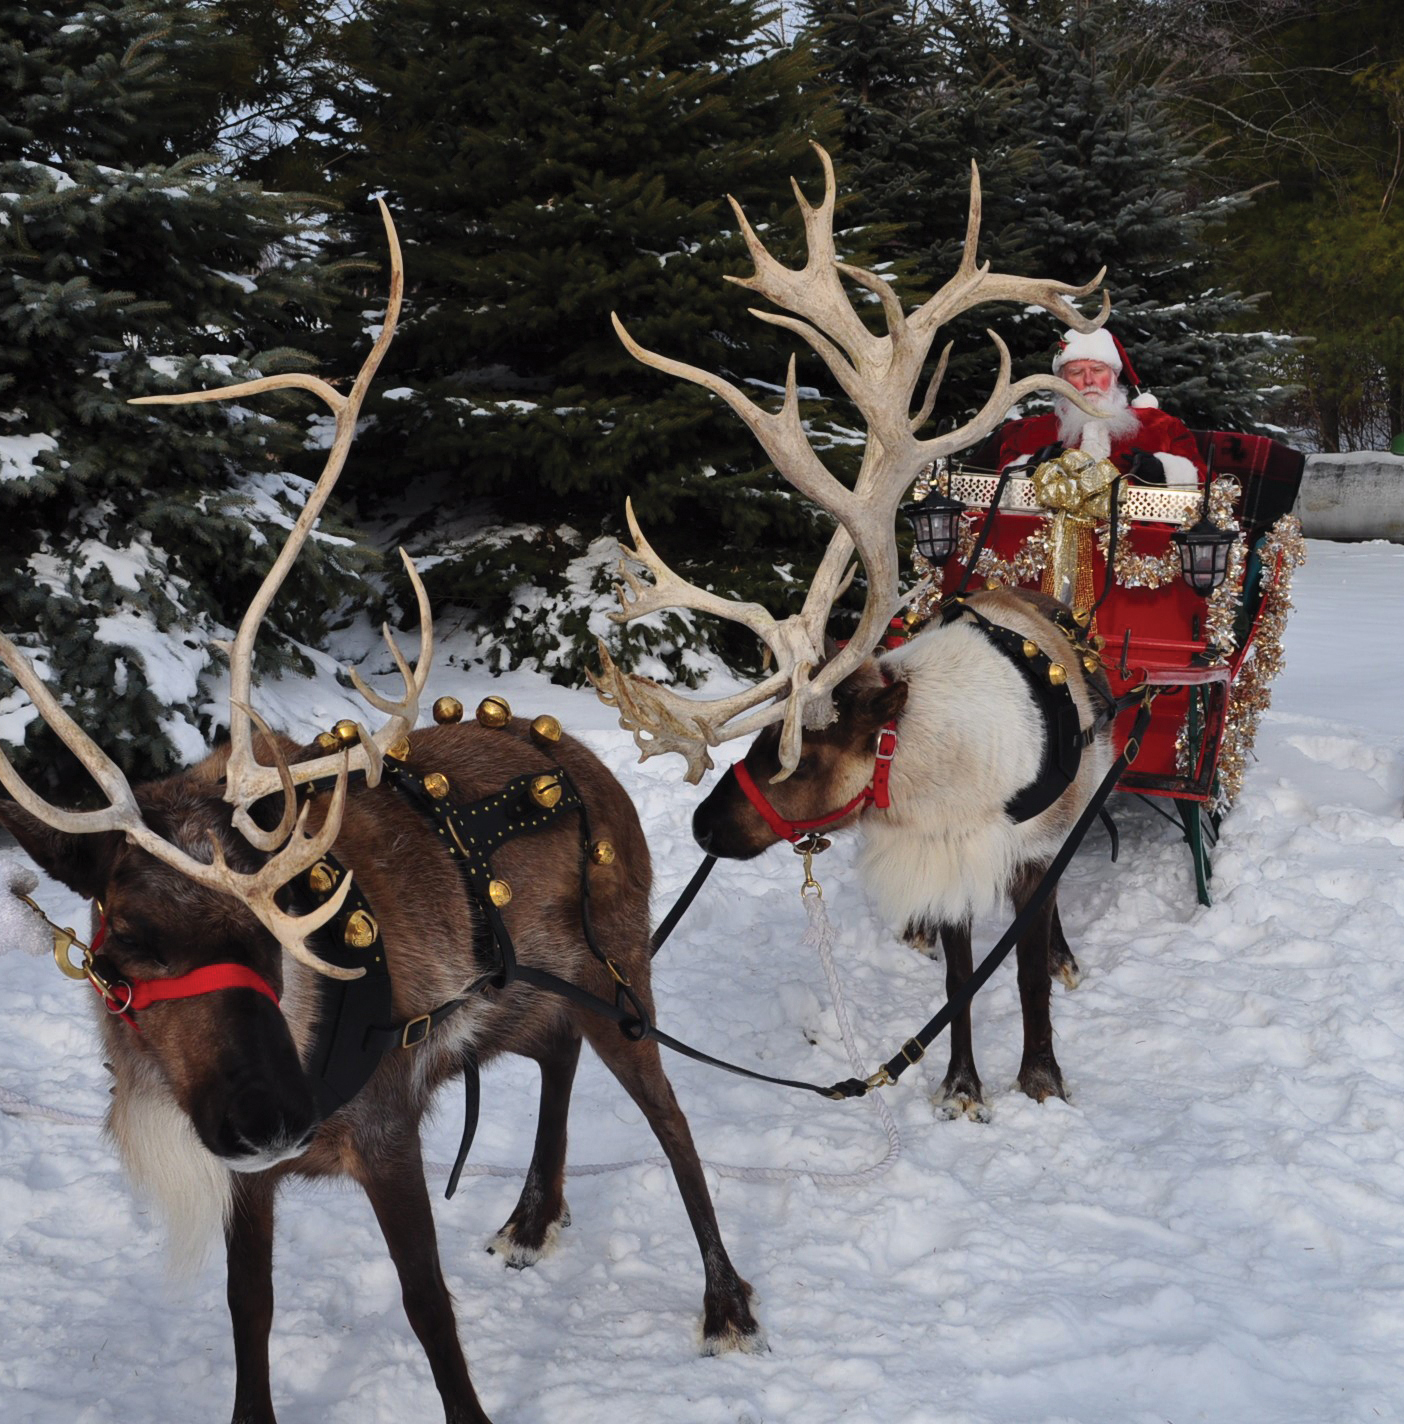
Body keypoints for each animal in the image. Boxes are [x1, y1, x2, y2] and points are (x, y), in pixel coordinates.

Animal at [0, 205, 759, 1424]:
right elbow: (247, 1311)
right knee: (554, 1052)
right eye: (120, 949)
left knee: (671, 1113)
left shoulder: (391, 1127)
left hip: (623, 965)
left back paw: (725, 1299)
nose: (272, 1116)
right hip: (526, 989)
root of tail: (585, 756)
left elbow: (428, 1310)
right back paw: (534, 1213)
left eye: (275, 932)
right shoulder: (250, 1180)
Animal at [592, 145, 1119, 1119]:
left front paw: (1040, 1074)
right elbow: (958, 980)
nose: (701, 827)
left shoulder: (1022, 850)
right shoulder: (941, 862)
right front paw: (959, 1085)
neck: (931, 779)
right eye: (755, 743)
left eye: (790, 760)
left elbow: (1023, 967)